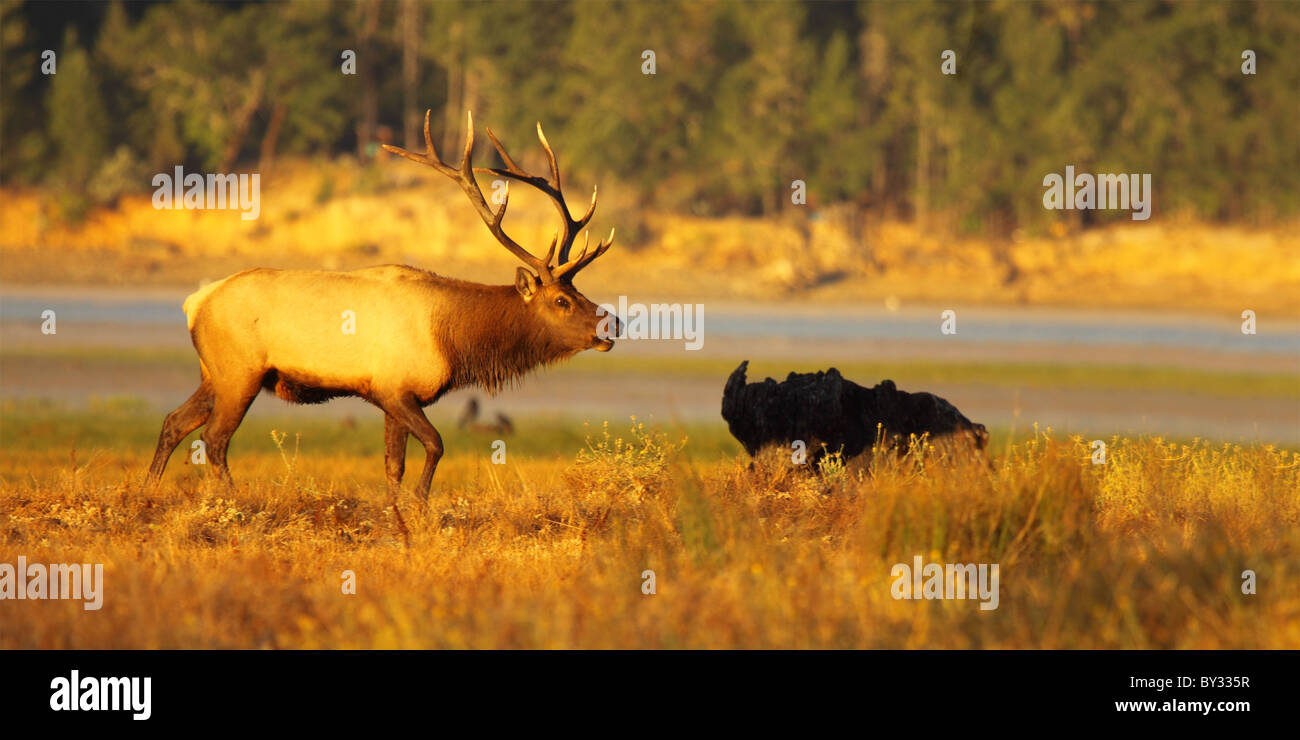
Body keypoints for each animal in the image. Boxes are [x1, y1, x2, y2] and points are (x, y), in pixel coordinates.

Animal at [145, 110, 621, 497]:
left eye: (578, 292)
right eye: (561, 300)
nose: (612, 323)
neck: (453, 337)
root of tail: (194, 302)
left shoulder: (395, 397)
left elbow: (394, 466)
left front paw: (398, 514)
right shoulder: (396, 389)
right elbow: (436, 445)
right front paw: (420, 505)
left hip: (215, 373)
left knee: (173, 421)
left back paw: (148, 491)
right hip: (240, 371)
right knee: (214, 439)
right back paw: (232, 498)